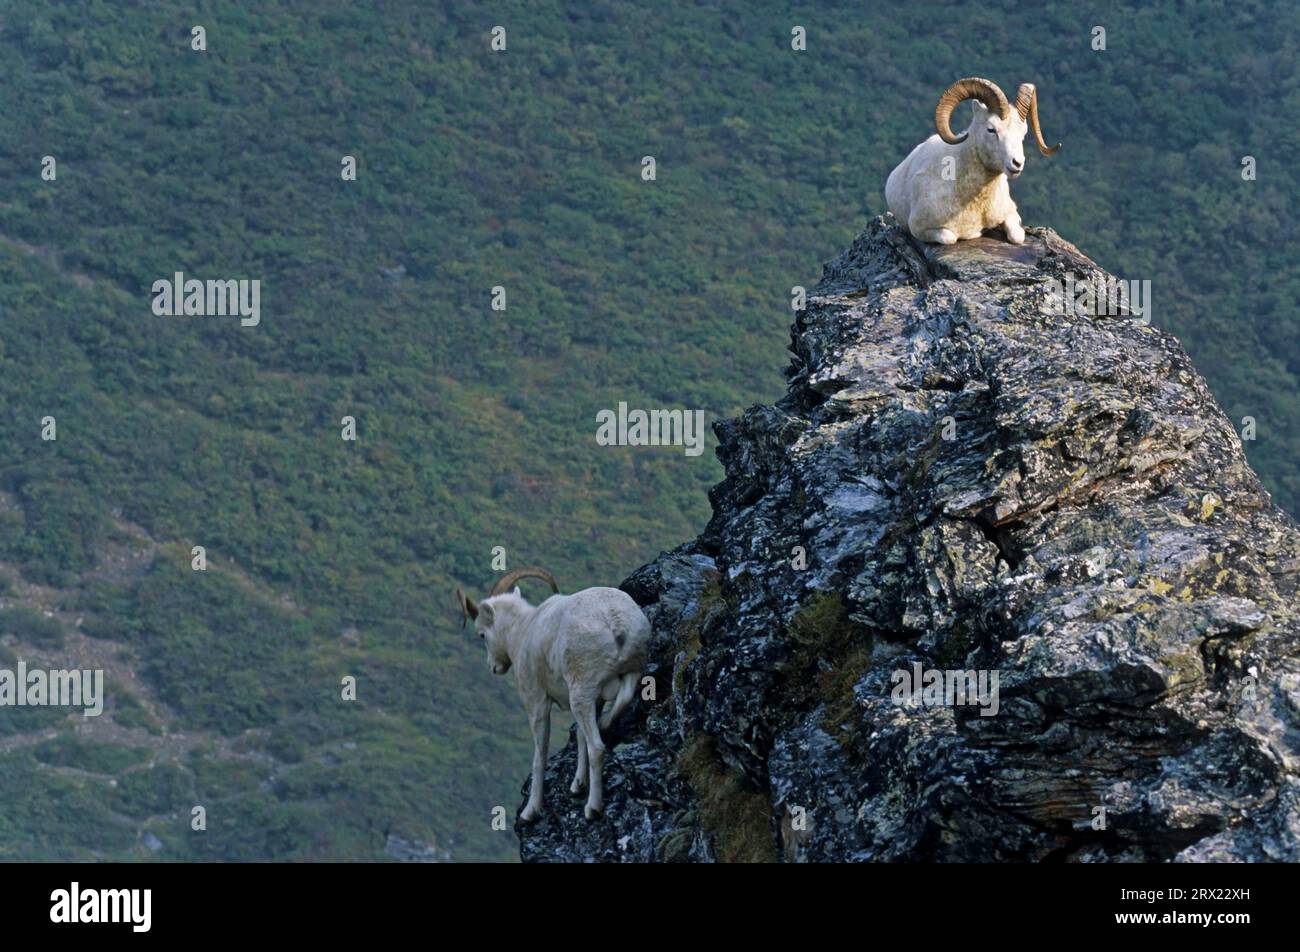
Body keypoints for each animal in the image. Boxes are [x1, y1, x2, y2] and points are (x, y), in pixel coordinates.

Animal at [456, 567, 650, 822]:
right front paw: (577, 784)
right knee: (621, 703)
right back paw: (605, 725)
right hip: (627, 675)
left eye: (481, 634)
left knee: (597, 747)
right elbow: (579, 736)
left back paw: (592, 808)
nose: (494, 667)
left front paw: (531, 811)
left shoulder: (536, 701)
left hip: (581, 692)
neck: (523, 631)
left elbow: (540, 756)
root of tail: (616, 621)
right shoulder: (597, 699)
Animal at [886, 77, 1060, 245]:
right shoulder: (920, 229)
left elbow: (1017, 236)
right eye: (991, 129)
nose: (1017, 163)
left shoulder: (1011, 212)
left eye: (1023, 132)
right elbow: (949, 237)